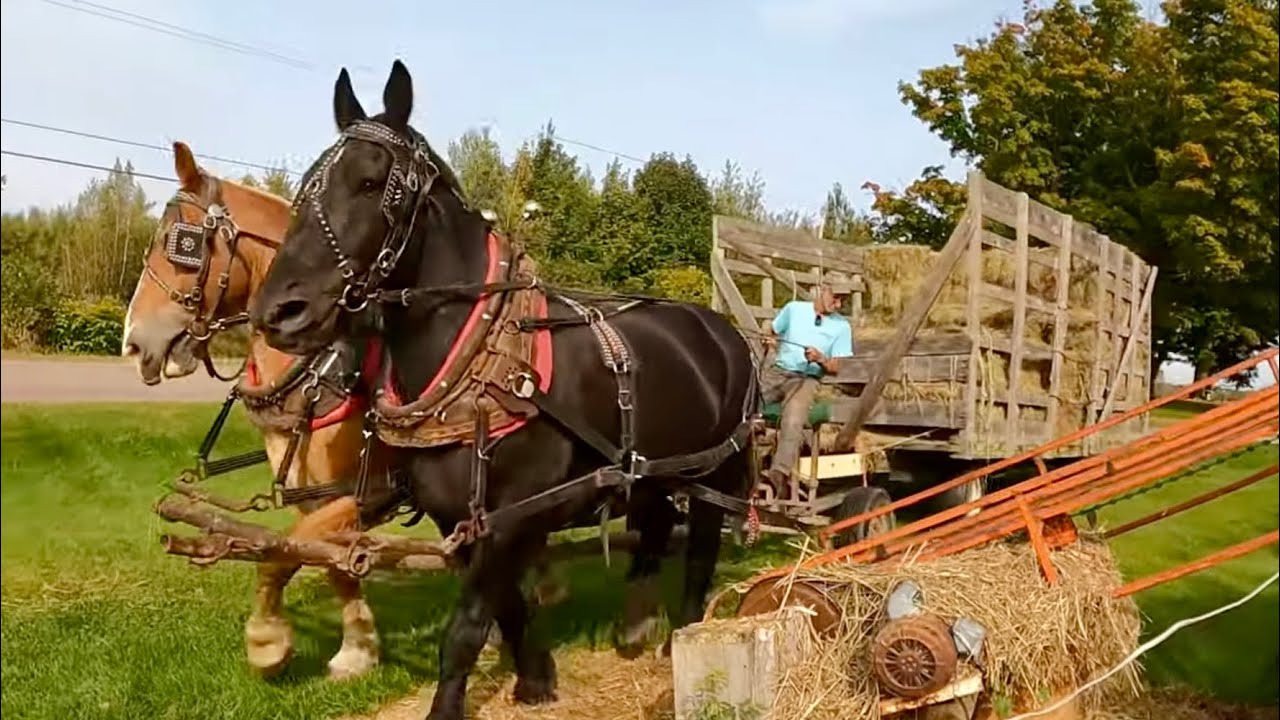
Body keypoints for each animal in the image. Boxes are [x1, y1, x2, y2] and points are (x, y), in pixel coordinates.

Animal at [121, 142, 569, 681]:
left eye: (182, 244)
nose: (134, 343)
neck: (325, 367)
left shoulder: (372, 491)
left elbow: (280, 551)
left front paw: (267, 640)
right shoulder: (314, 494)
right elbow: (327, 561)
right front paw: (357, 648)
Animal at [248, 60, 759, 720]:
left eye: (370, 182)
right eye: (307, 187)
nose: (278, 312)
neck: (480, 363)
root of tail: (724, 331)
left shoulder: (516, 513)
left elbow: (466, 627)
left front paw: (452, 705)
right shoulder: (465, 519)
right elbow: (508, 607)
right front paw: (536, 679)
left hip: (713, 471)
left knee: (699, 550)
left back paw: (686, 633)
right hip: (650, 469)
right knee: (652, 529)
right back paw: (637, 628)